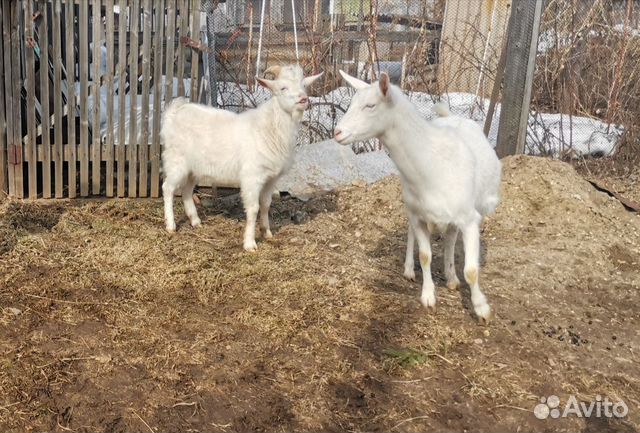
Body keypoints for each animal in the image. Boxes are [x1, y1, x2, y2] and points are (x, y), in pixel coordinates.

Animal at [161, 64, 323, 251]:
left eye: (304, 85)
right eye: (283, 88)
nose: (303, 99)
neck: (269, 128)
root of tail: (174, 113)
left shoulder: (271, 178)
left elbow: (266, 204)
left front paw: (267, 232)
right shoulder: (252, 177)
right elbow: (253, 209)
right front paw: (250, 243)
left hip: (193, 167)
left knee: (187, 190)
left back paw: (196, 221)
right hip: (176, 161)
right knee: (168, 188)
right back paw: (170, 225)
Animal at [334, 71, 501, 321]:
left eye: (370, 105)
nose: (337, 132)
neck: (432, 164)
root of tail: (450, 116)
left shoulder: (470, 219)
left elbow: (471, 270)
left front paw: (481, 308)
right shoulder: (419, 216)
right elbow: (425, 255)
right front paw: (428, 296)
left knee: (451, 237)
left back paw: (452, 277)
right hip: (412, 206)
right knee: (416, 233)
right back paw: (410, 270)